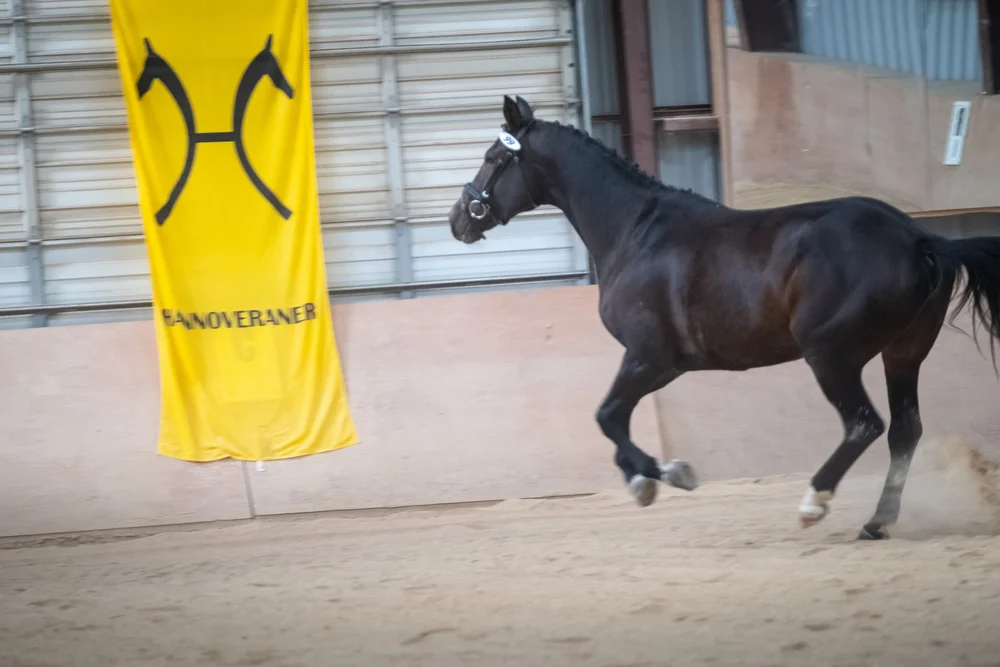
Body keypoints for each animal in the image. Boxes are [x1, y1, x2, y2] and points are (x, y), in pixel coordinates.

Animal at [448, 95, 1000, 541]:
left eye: (493, 159)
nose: (458, 220)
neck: (635, 230)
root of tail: (920, 239)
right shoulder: (667, 365)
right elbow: (614, 419)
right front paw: (651, 478)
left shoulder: (647, 357)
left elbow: (607, 416)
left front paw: (661, 476)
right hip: (902, 355)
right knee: (904, 431)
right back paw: (875, 523)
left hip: (832, 356)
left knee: (864, 424)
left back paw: (814, 504)